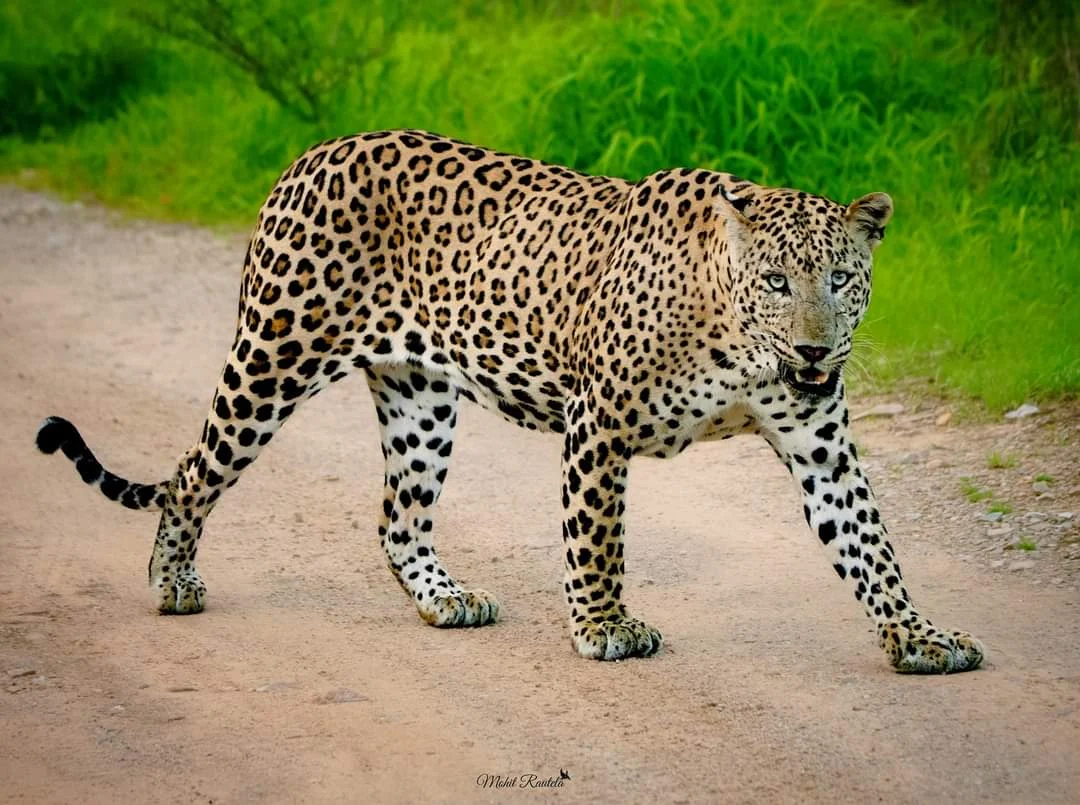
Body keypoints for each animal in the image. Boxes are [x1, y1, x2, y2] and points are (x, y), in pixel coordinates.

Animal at [36, 129, 984, 673]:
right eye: (777, 281)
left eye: (842, 279)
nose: (816, 348)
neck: (734, 334)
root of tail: (310, 155)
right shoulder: (598, 421)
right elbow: (598, 539)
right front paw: (605, 628)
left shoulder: (822, 445)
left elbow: (871, 547)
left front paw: (921, 637)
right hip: (275, 353)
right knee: (195, 470)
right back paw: (172, 580)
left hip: (420, 397)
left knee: (397, 519)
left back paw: (445, 600)